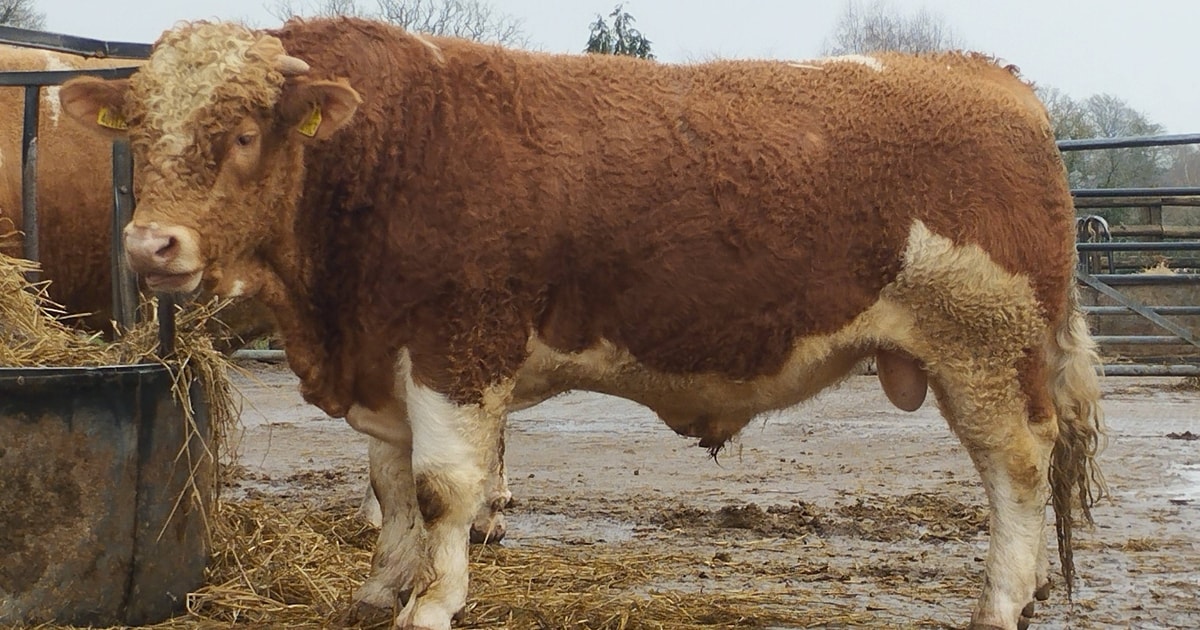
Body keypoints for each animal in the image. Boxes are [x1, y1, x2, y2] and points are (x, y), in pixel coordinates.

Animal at [60, 17, 1105, 630]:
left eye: (242, 134)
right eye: (139, 134)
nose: (150, 244)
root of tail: (992, 77)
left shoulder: (458, 346)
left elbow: (442, 490)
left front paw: (429, 605)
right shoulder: (385, 355)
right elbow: (390, 488)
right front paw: (380, 587)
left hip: (986, 347)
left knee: (1017, 471)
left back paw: (1002, 602)